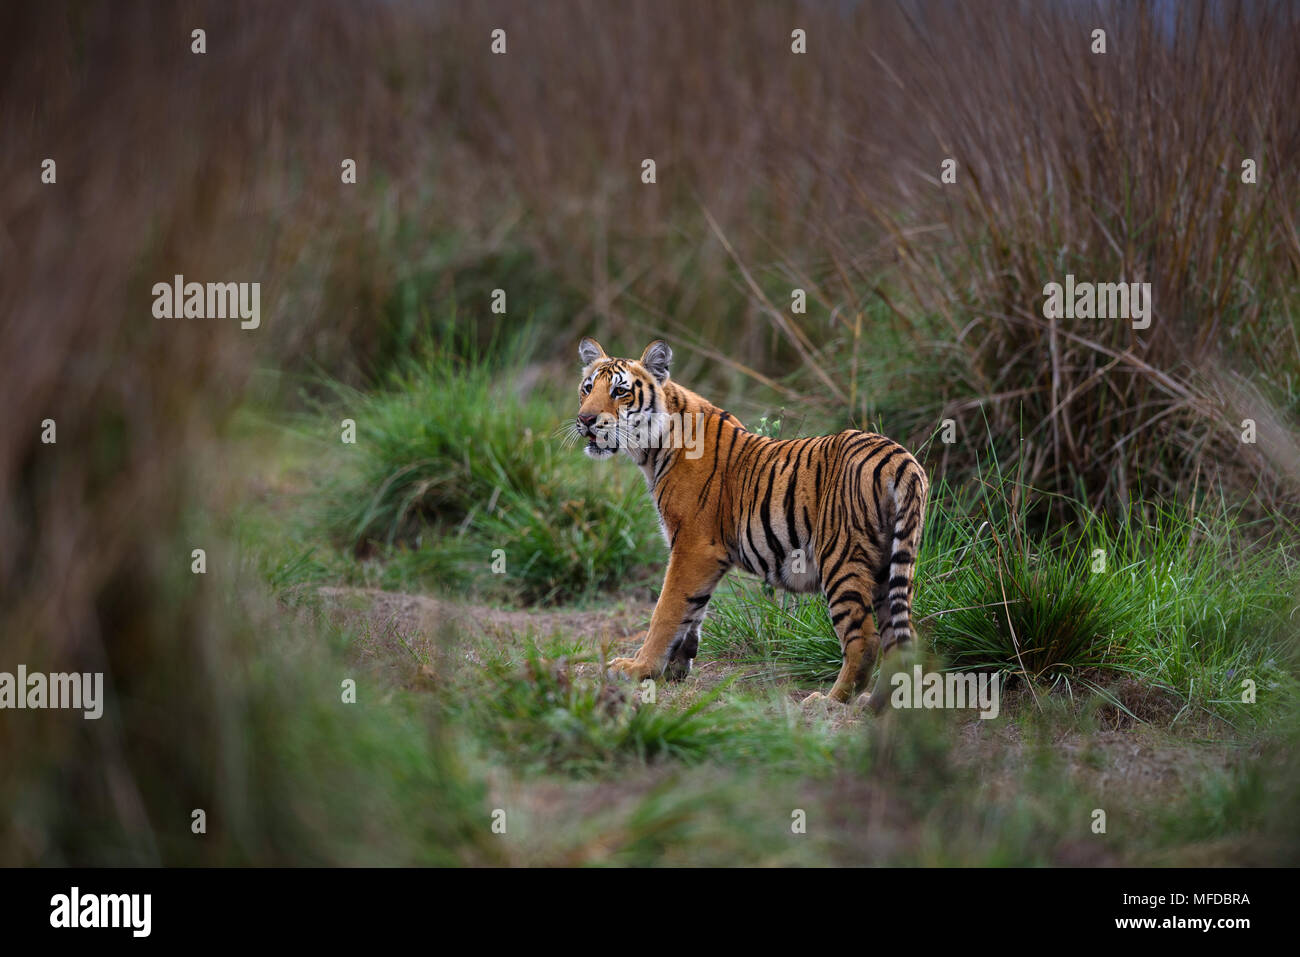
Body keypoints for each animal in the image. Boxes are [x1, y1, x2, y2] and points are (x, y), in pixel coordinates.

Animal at [573, 336, 929, 711]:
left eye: (620, 391)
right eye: (587, 388)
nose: (585, 419)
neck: (653, 449)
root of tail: (898, 457)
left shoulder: (693, 547)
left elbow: (667, 611)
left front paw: (637, 668)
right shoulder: (701, 555)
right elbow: (691, 611)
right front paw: (676, 667)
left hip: (841, 557)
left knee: (865, 639)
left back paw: (829, 702)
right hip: (892, 566)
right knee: (901, 638)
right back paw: (881, 704)